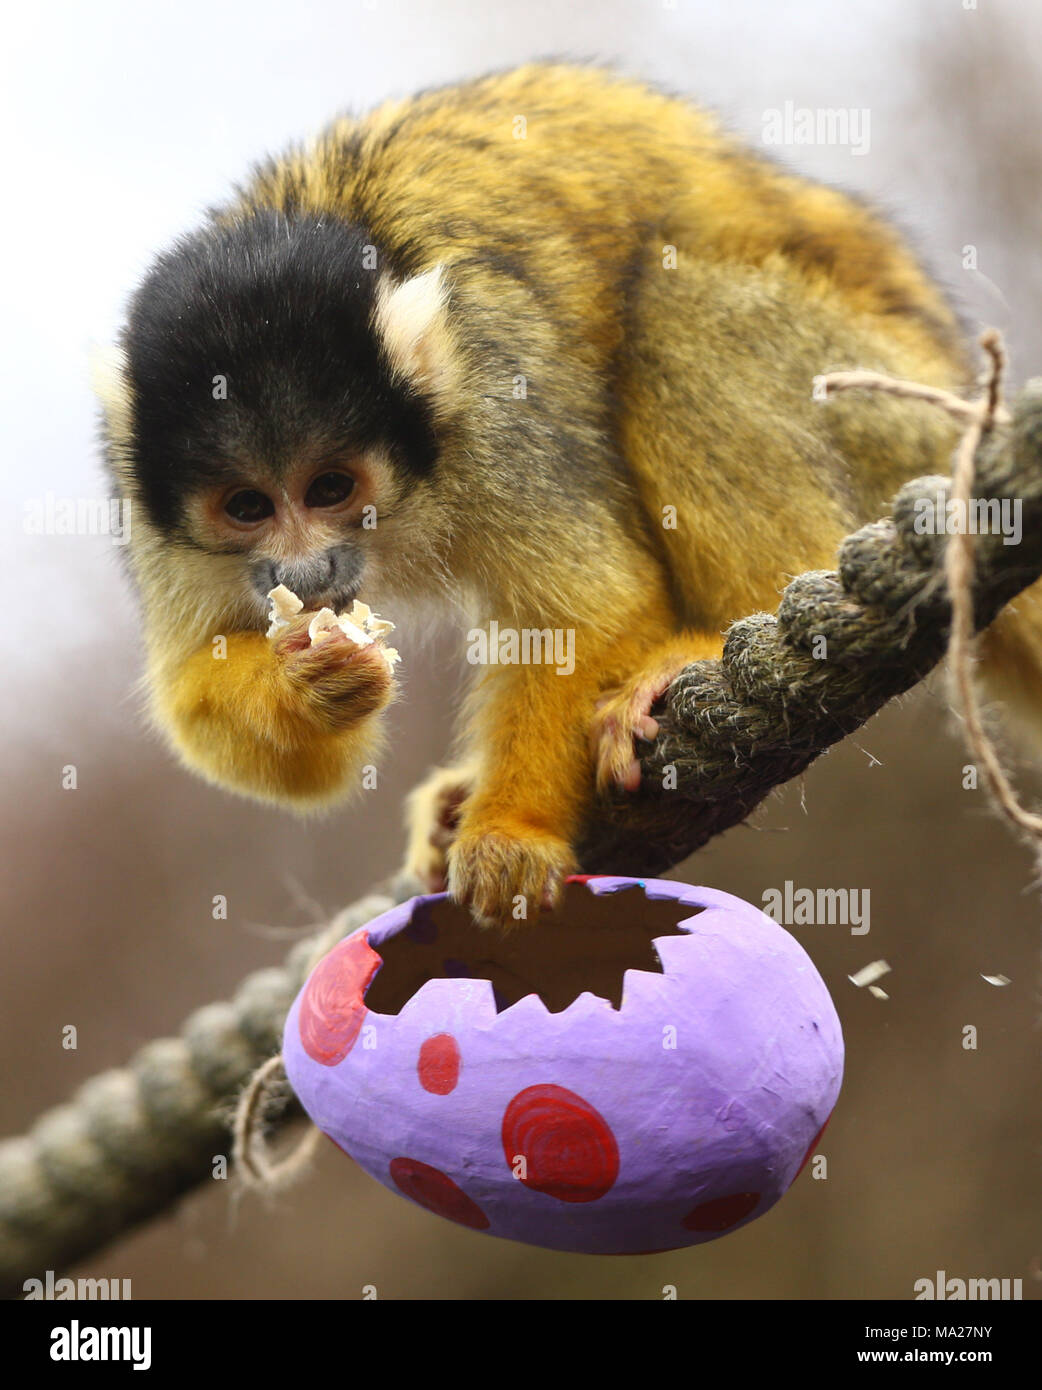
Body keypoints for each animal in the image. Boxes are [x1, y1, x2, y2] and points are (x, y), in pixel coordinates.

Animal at [93, 61, 1036, 929]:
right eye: (248, 507)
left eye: (330, 487)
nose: (305, 570)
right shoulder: (145, 501)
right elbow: (201, 701)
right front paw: (314, 675)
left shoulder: (496, 395)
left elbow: (585, 604)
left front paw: (512, 831)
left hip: (887, 405)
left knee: (673, 304)